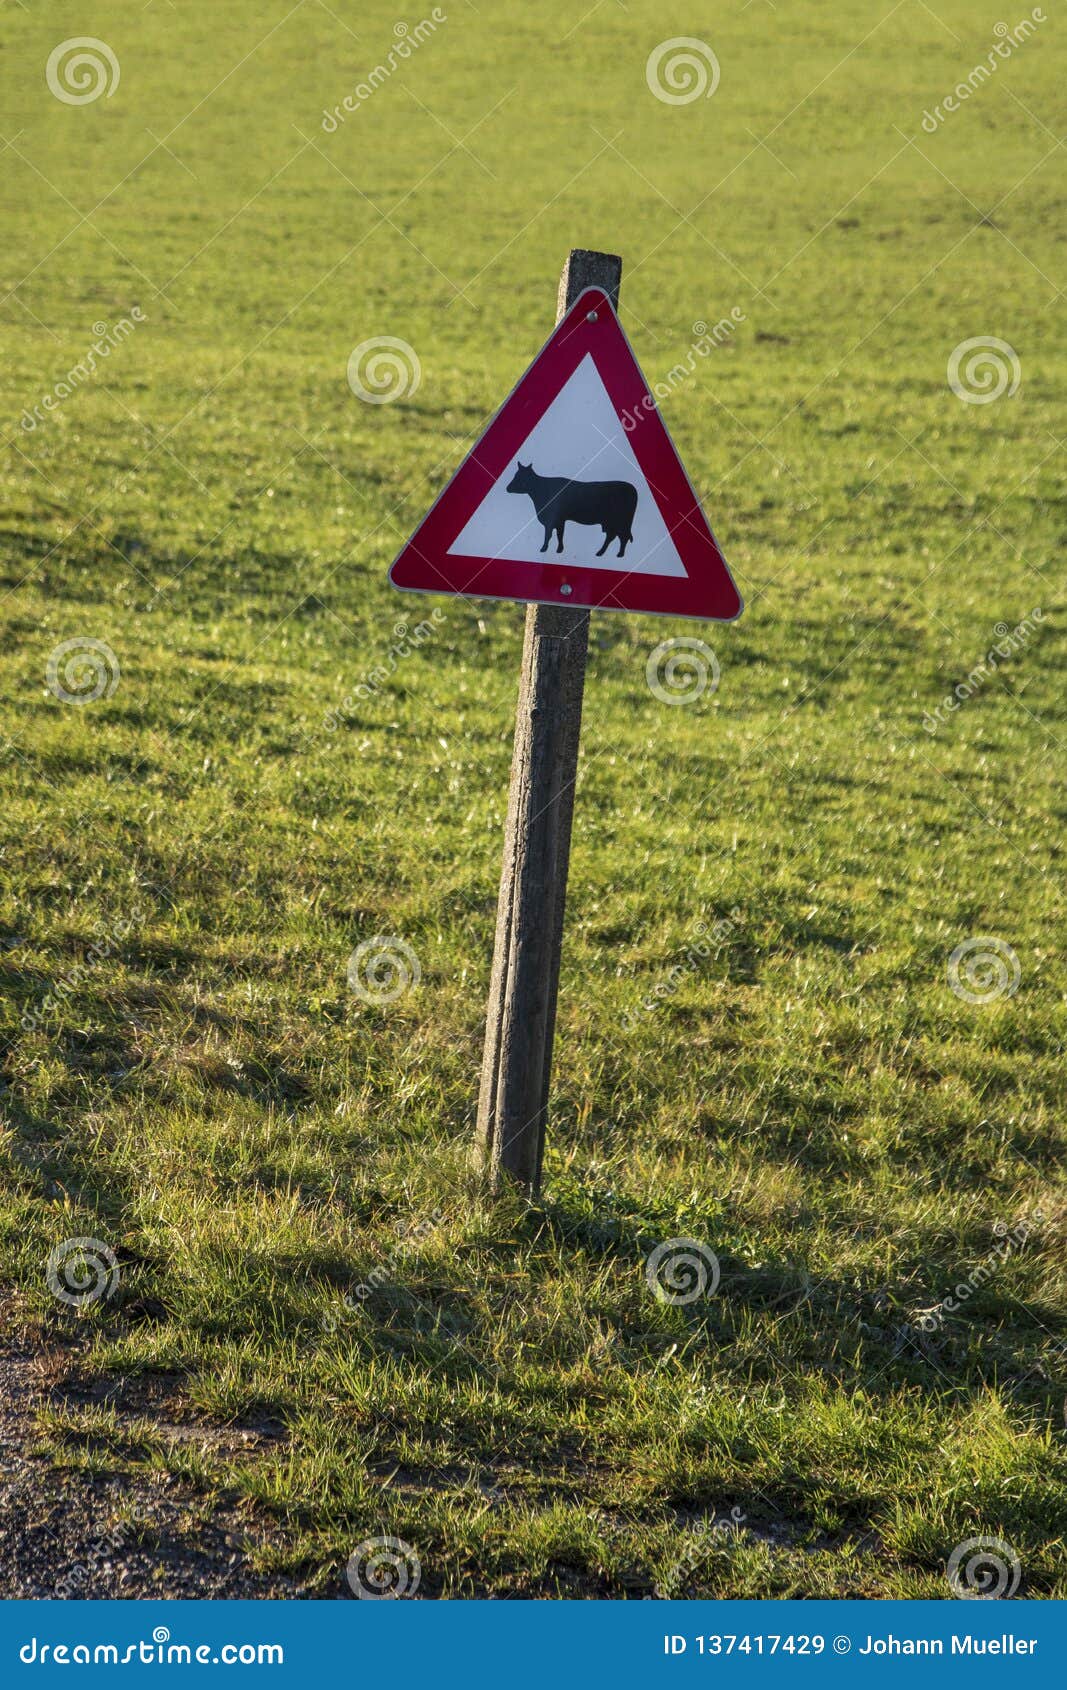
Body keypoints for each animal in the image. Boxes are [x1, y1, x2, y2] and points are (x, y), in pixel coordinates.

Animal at [505, 461, 638, 559]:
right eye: (515, 475)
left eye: (520, 477)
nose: (507, 488)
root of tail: (632, 488)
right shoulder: (559, 520)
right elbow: (559, 534)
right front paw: (559, 549)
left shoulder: (552, 519)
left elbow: (550, 534)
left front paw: (544, 548)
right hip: (614, 522)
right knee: (615, 536)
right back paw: (603, 553)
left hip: (620, 521)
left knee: (622, 536)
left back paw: (618, 554)